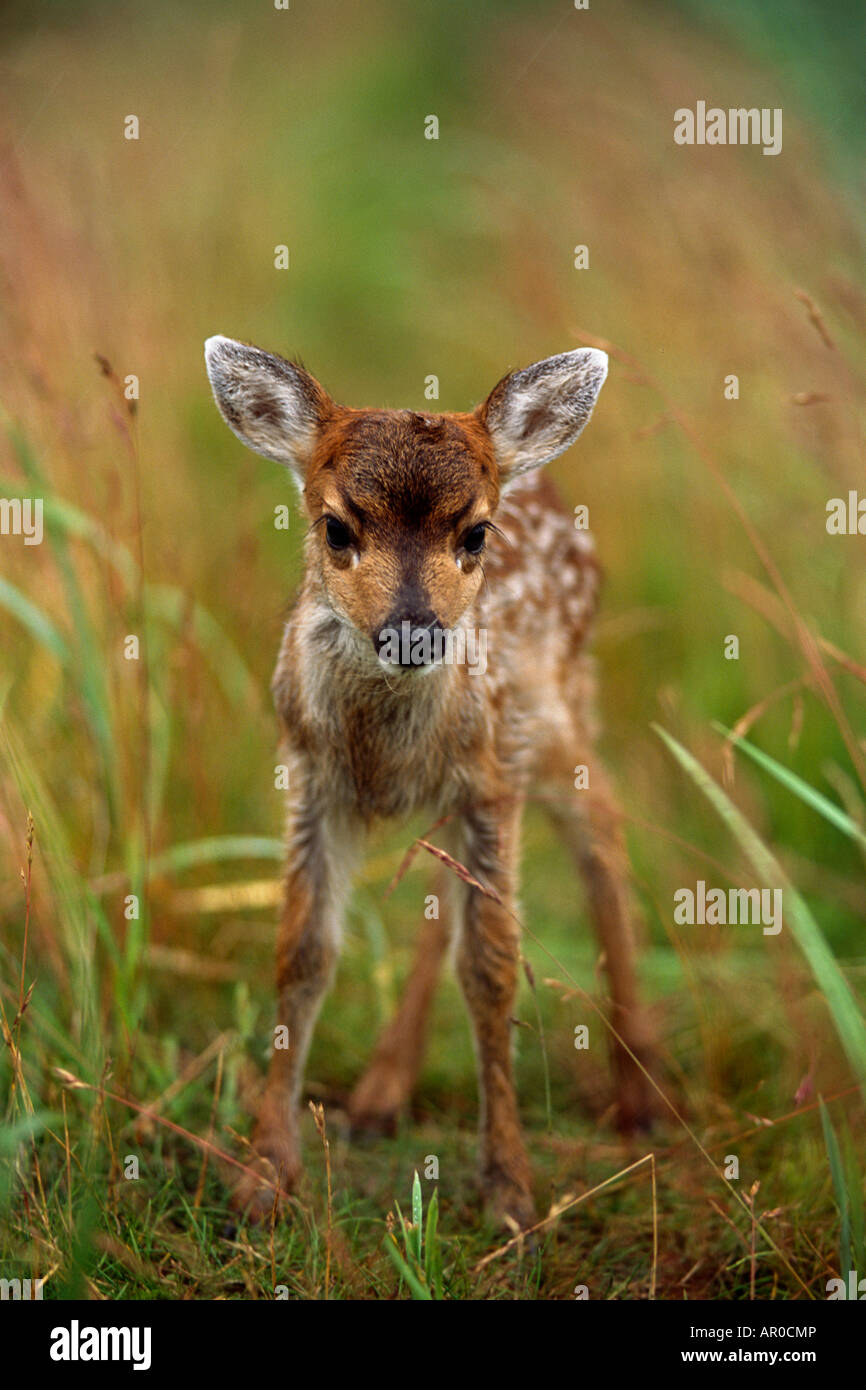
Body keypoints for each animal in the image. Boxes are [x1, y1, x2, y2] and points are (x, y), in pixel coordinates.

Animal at [204, 336, 654, 1231]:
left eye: (476, 532)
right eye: (336, 527)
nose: (414, 631)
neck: (381, 756)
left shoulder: (491, 777)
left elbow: (491, 969)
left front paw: (510, 1191)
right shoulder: (311, 781)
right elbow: (302, 953)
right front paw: (265, 1175)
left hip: (552, 716)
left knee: (604, 824)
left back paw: (639, 1093)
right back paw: (381, 1094)